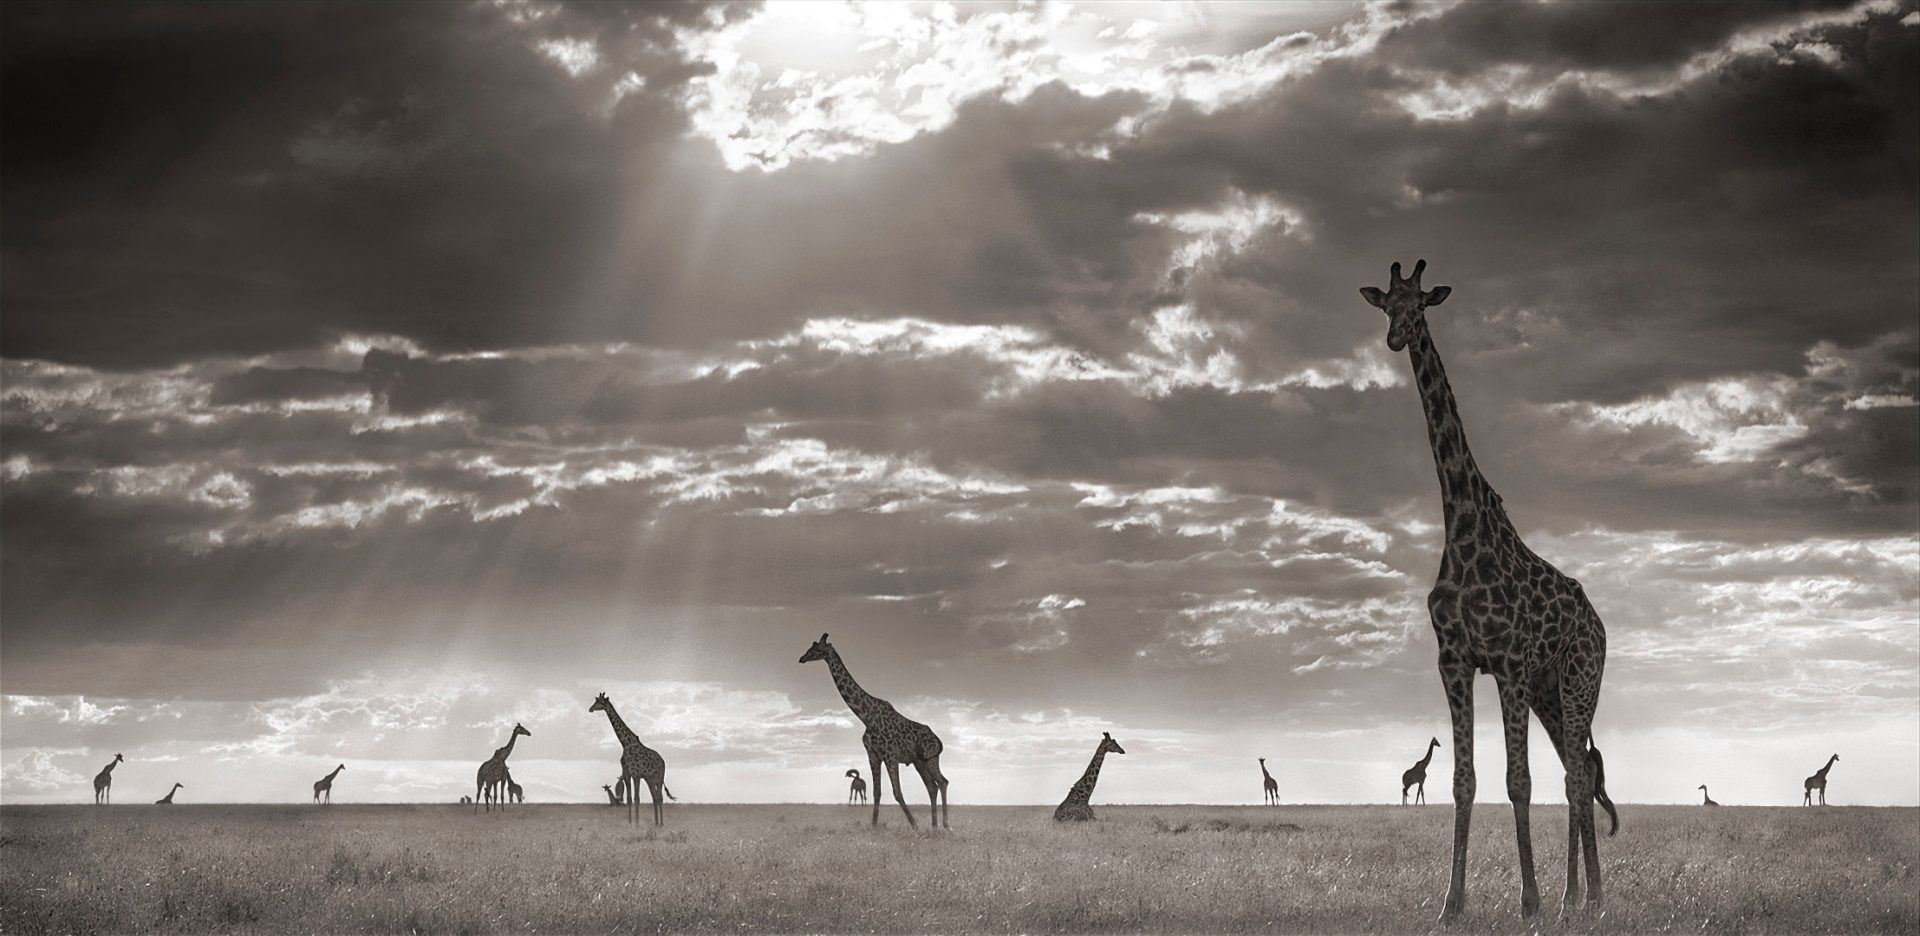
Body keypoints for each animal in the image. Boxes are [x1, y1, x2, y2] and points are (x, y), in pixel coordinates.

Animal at [587, 693, 676, 825]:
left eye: (601, 702)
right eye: (596, 701)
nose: (590, 709)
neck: (625, 744)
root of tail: (663, 761)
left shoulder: (636, 774)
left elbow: (636, 798)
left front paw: (637, 824)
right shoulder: (626, 774)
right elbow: (629, 799)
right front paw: (630, 823)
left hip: (659, 778)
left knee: (660, 798)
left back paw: (661, 824)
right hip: (650, 779)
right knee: (654, 797)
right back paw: (655, 823)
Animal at [800, 634, 949, 829]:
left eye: (817, 649)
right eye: (810, 648)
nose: (801, 658)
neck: (866, 717)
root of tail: (938, 740)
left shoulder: (890, 754)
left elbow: (897, 792)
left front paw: (914, 826)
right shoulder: (873, 754)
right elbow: (876, 792)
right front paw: (874, 826)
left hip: (931, 758)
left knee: (943, 782)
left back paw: (946, 825)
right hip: (919, 762)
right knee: (932, 786)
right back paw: (934, 826)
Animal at [1361, 260, 1617, 921]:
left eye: (1420, 305)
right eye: (1386, 306)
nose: (1395, 338)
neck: (1461, 524)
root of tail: (1599, 623)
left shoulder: (1507, 663)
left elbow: (1517, 781)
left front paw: (1528, 900)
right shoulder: (1454, 661)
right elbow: (1464, 781)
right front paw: (1451, 903)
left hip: (1580, 679)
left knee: (1578, 774)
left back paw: (1589, 897)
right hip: (1551, 690)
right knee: (1577, 771)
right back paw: (1575, 897)